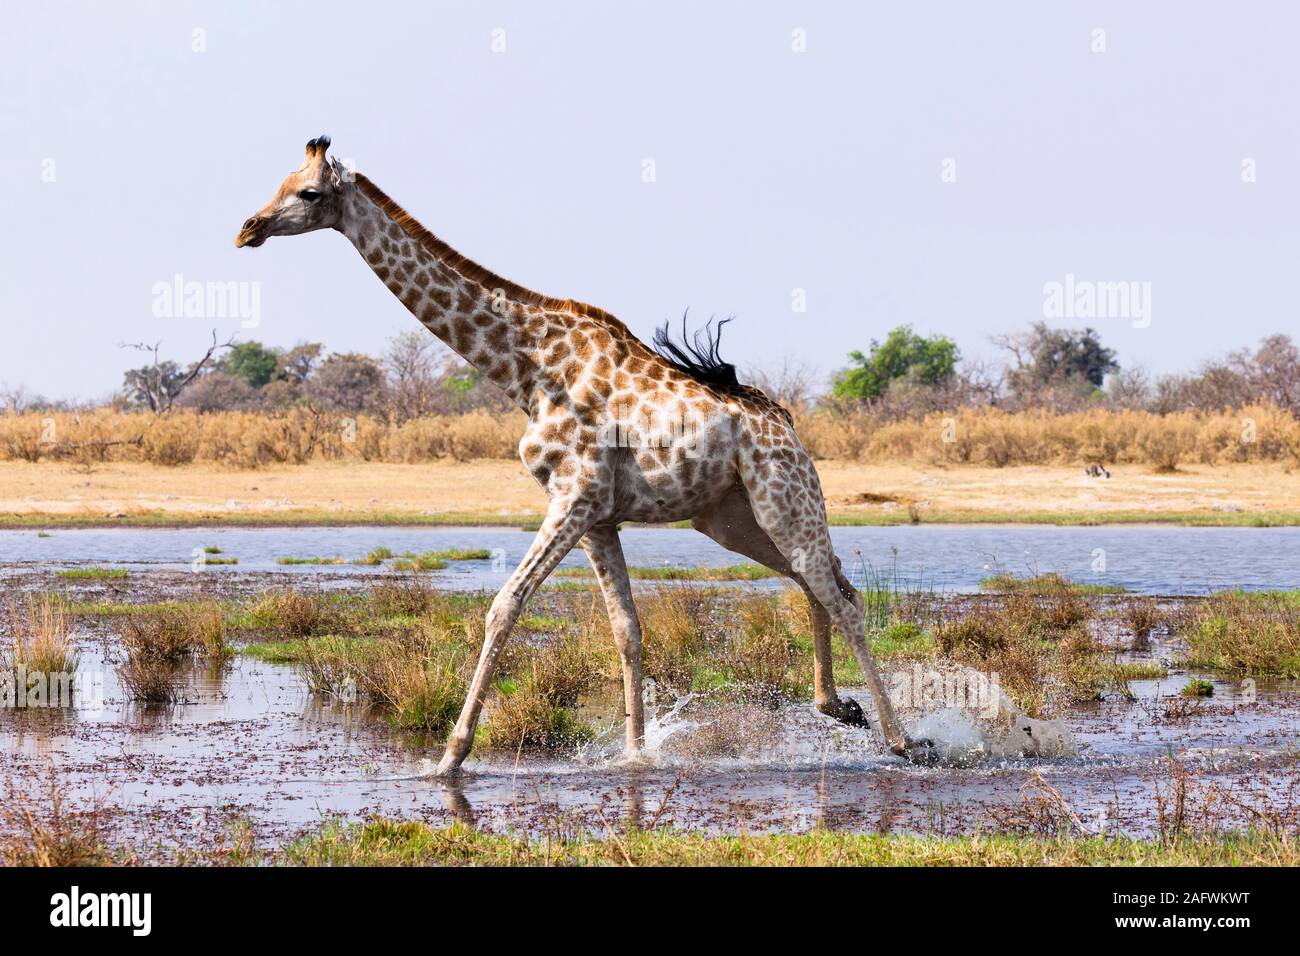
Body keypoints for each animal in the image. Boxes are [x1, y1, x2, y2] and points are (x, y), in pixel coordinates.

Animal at [236, 136, 929, 773]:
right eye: (280, 181)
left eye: (309, 193)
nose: (248, 229)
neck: (524, 370)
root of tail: (783, 419)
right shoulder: (598, 518)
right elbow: (628, 630)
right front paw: (636, 753)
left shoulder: (575, 498)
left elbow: (504, 607)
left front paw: (451, 756)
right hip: (733, 518)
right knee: (821, 583)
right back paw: (839, 707)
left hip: (786, 500)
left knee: (839, 594)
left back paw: (902, 740)